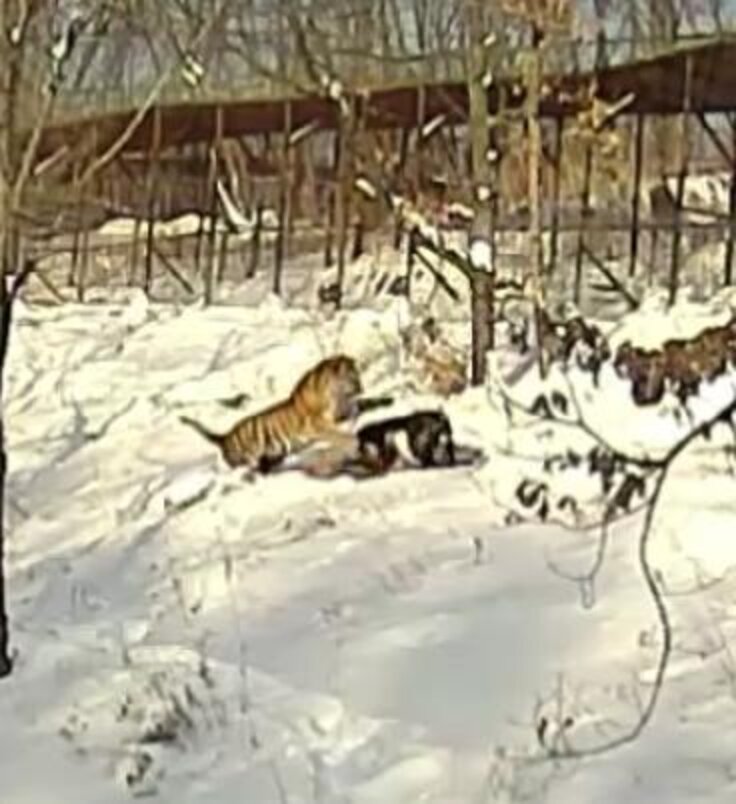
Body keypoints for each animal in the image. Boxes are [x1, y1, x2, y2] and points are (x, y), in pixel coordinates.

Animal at [179, 354, 364, 472]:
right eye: (352, 378)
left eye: (358, 375)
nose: (362, 388)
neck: (336, 396)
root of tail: (224, 437)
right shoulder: (314, 425)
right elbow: (337, 434)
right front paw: (351, 443)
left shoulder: (344, 410)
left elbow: (353, 414)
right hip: (247, 459)